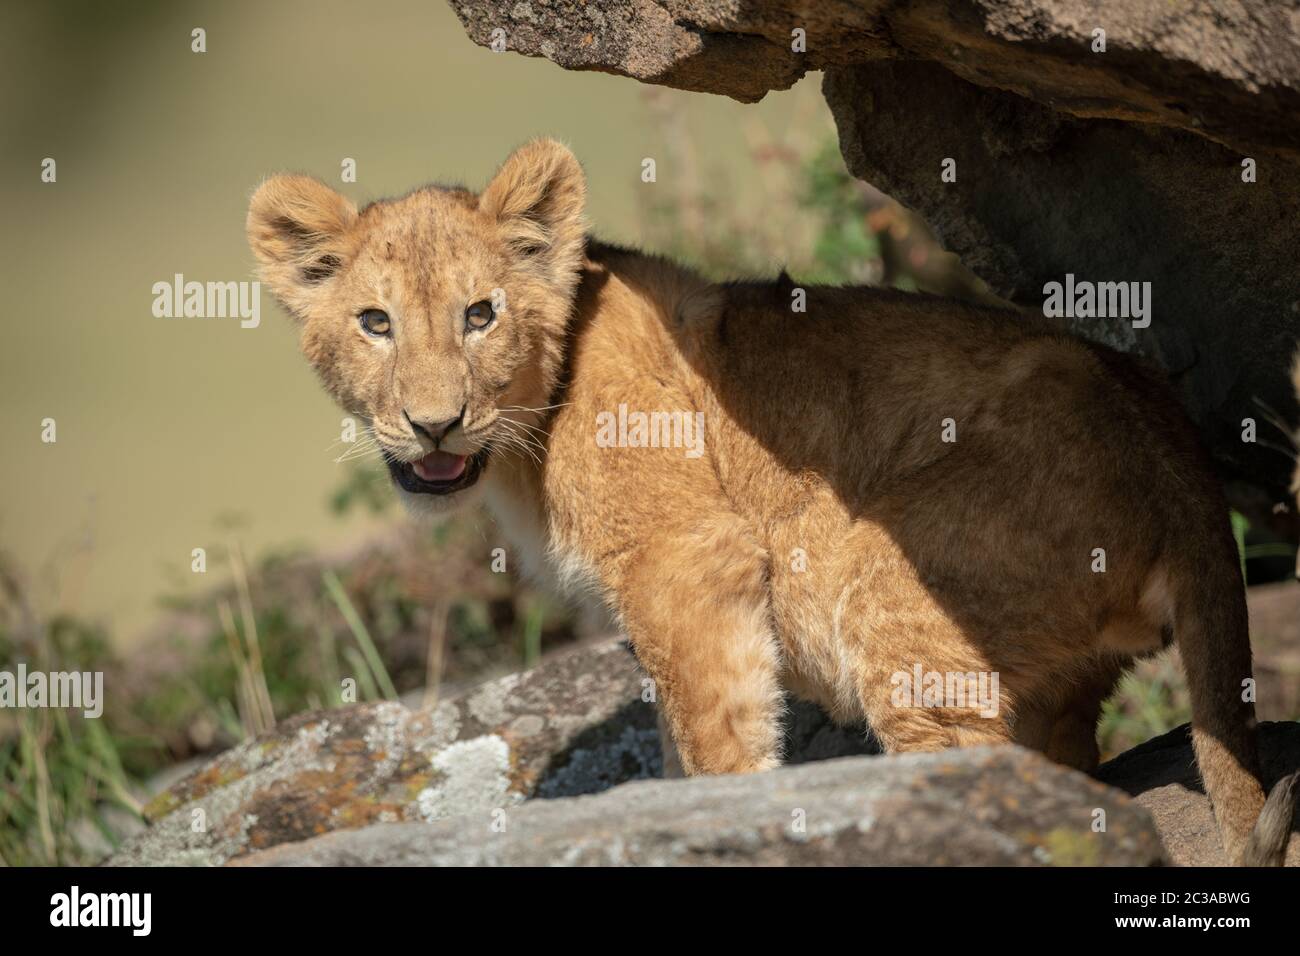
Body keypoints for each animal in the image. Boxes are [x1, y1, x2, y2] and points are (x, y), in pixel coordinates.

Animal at [247, 139, 1296, 864]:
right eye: (375, 323)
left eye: (480, 314)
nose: (434, 426)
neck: (525, 438)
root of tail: (1177, 453)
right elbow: (673, 744)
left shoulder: (688, 555)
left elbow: (715, 737)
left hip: (888, 571)